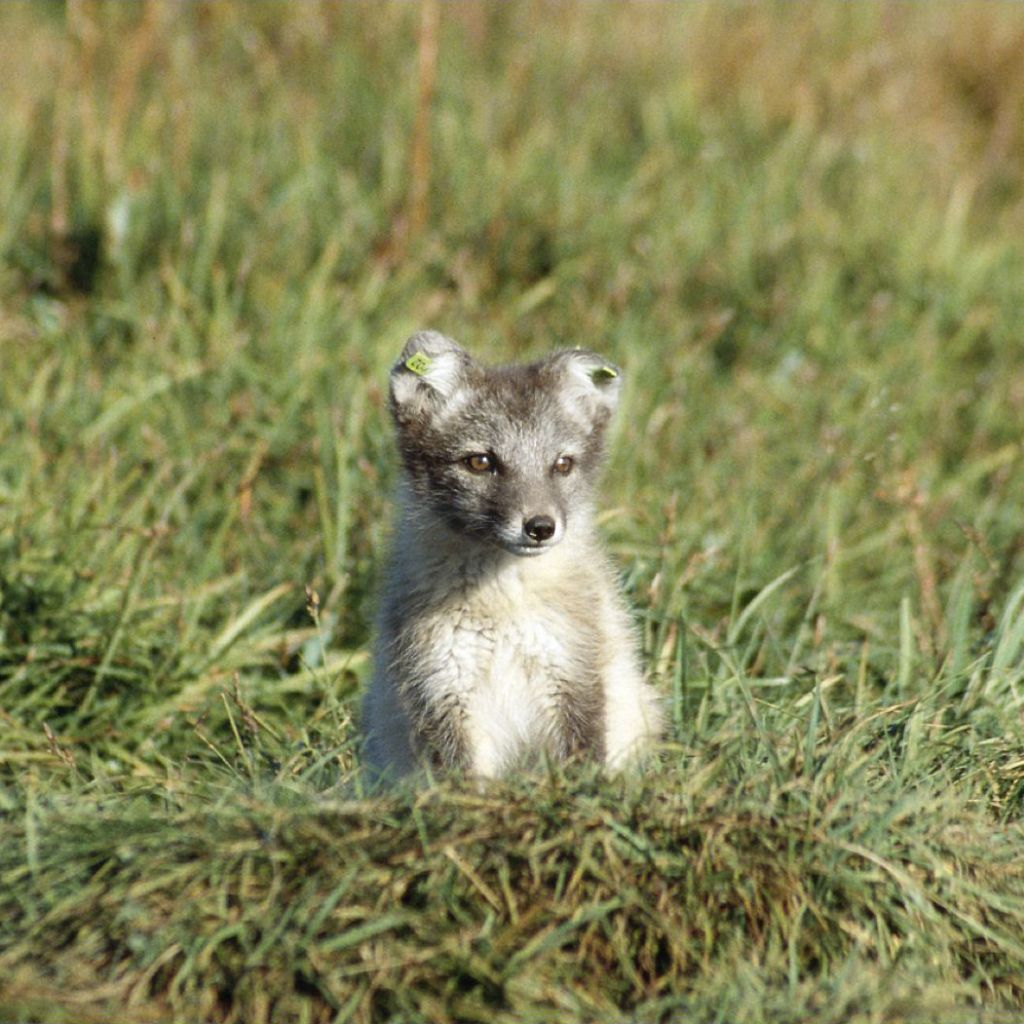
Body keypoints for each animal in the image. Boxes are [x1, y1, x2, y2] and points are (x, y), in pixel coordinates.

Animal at [362, 331, 662, 781]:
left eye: (562, 464)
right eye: (479, 461)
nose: (540, 527)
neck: (501, 608)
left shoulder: (574, 673)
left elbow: (582, 763)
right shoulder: (440, 685)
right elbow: (467, 783)